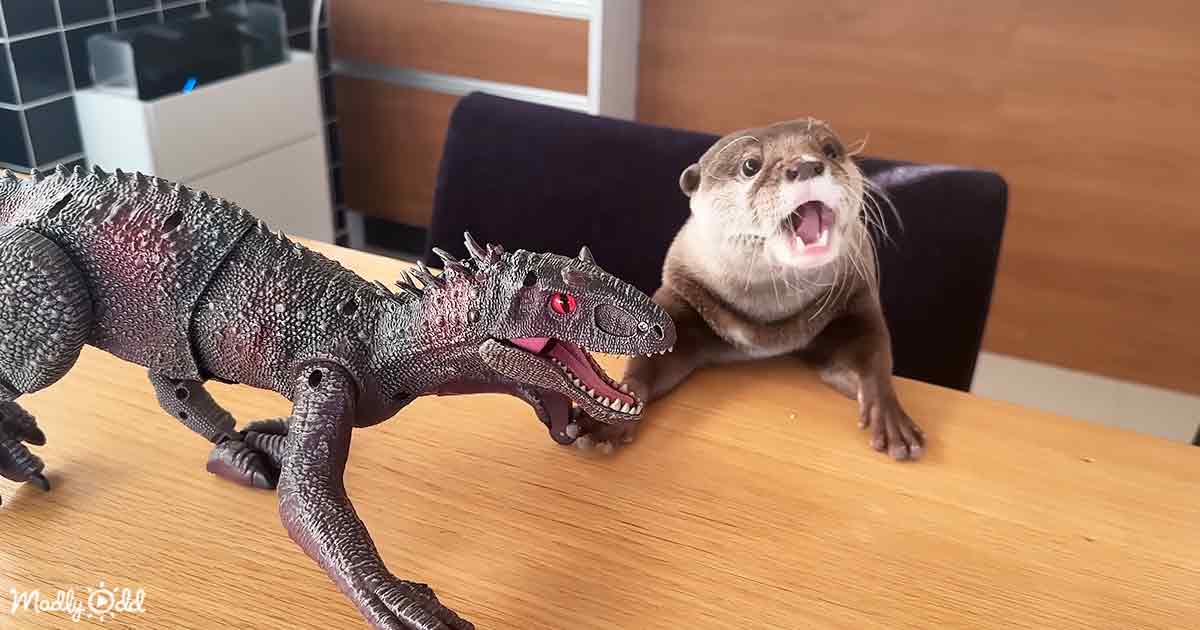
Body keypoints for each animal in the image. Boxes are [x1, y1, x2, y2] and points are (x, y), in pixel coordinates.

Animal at [580, 118, 924, 460]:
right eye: (750, 165)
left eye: (829, 149)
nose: (806, 165)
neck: (768, 323)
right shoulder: (681, 292)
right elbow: (647, 363)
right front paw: (610, 414)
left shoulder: (855, 298)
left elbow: (872, 358)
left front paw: (891, 418)